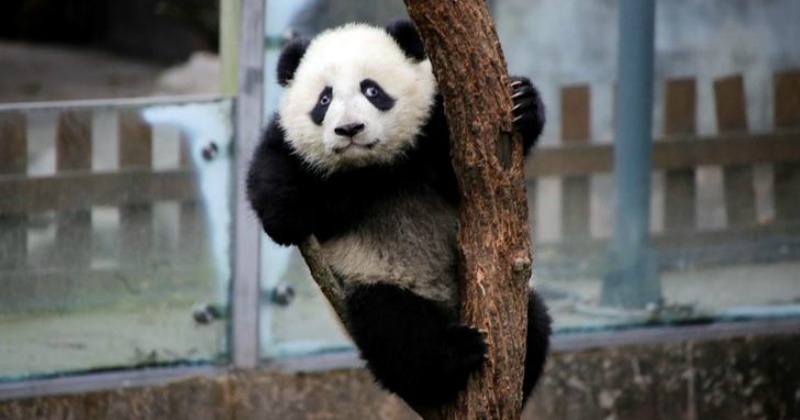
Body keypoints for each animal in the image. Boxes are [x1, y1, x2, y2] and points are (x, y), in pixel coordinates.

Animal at [247, 20, 551, 408]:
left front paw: (523, 101)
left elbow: (476, 165)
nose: (349, 129)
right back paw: (452, 357)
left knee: (534, 320)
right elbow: (272, 184)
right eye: (324, 99)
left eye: (372, 90)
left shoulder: (433, 132)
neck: (373, 167)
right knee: (397, 329)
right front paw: (288, 213)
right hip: (376, 278)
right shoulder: (291, 149)